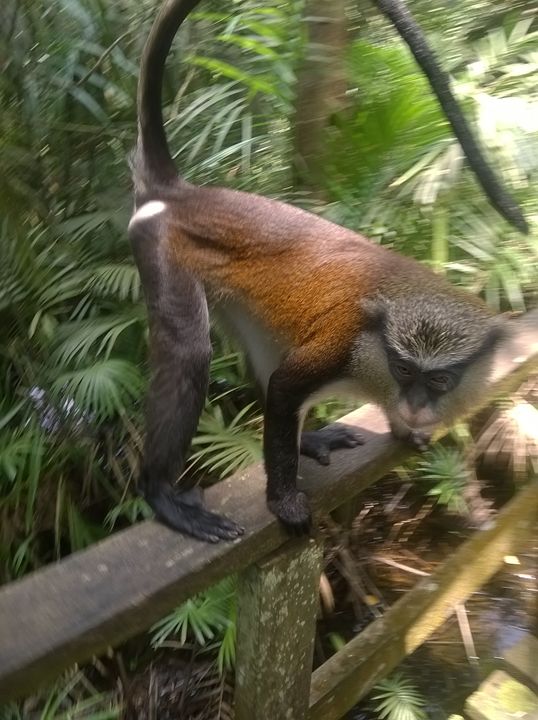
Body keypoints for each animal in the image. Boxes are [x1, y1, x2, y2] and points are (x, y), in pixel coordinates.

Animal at [129, 0, 526, 542]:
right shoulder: (341, 342)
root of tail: (180, 194)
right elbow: (283, 387)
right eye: (404, 369)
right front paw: (285, 502)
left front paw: (406, 429)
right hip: (161, 247)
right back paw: (162, 493)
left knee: (262, 353)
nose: (415, 404)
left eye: (441, 380)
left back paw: (308, 440)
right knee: (190, 350)